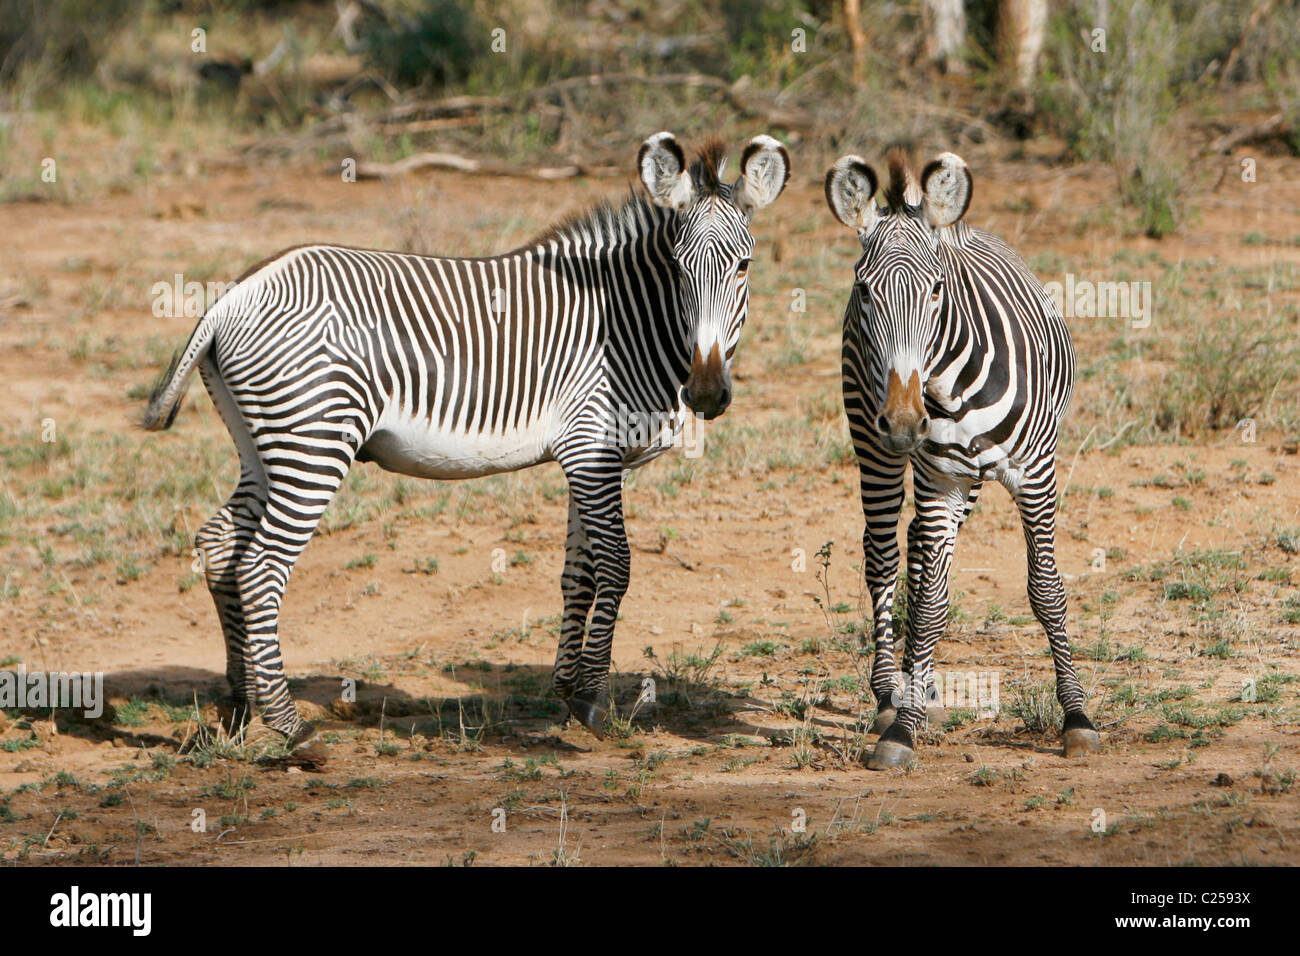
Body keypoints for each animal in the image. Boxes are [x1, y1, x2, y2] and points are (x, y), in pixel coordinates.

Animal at [142, 132, 790, 758]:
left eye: (744, 266)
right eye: (678, 269)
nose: (704, 392)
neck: (627, 322)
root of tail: (234, 294)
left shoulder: (591, 458)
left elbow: (578, 572)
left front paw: (570, 691)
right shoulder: (592, 449)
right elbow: (615, 564)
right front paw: (596, 707)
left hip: (264, 445)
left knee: (220, 545)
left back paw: (238, 708)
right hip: (315, 443)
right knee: (260, 566)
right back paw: (291, 728)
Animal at [824, 148, 1101, 769]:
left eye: (935, 289)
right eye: (865, 290)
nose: (905, 421)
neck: (950, 385)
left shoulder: (1035, 473)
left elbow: (1046, 590)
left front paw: (1076, 717)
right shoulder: (939, 478)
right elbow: (930, 604)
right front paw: (901, 729)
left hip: (965, 480)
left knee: (919, 552)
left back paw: (919, 684)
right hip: (876, 444)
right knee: (884, 553)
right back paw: (891, 693)